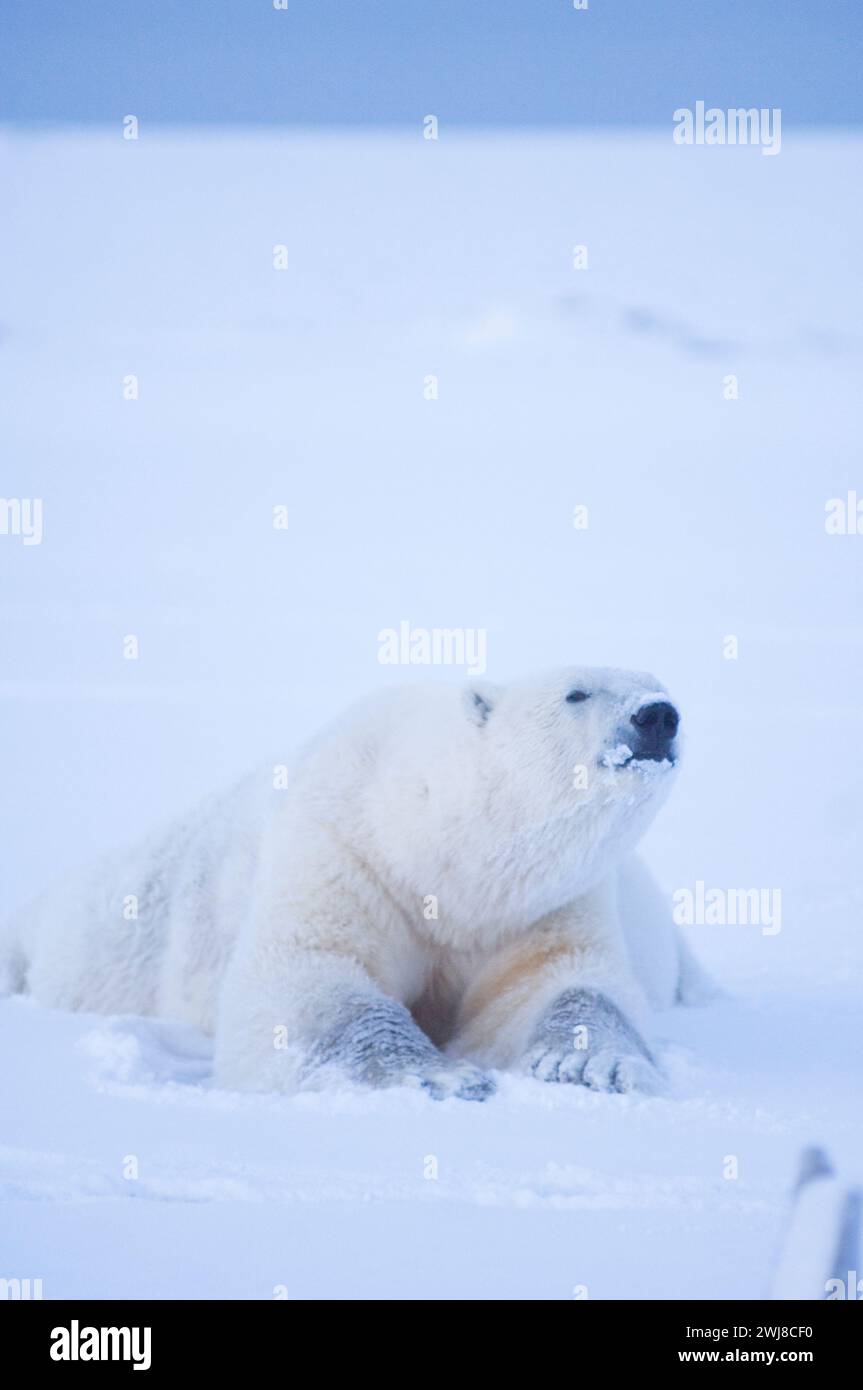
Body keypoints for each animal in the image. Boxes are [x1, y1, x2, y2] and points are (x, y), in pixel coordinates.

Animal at [1, 667, 713, 1100]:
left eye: (657, 684)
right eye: (576, 693)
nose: (659, 716)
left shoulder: (544, 904)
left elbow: (557, 983)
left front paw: (588, 1063)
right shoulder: (341, 846)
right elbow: (314, 977)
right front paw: (438, 1080)